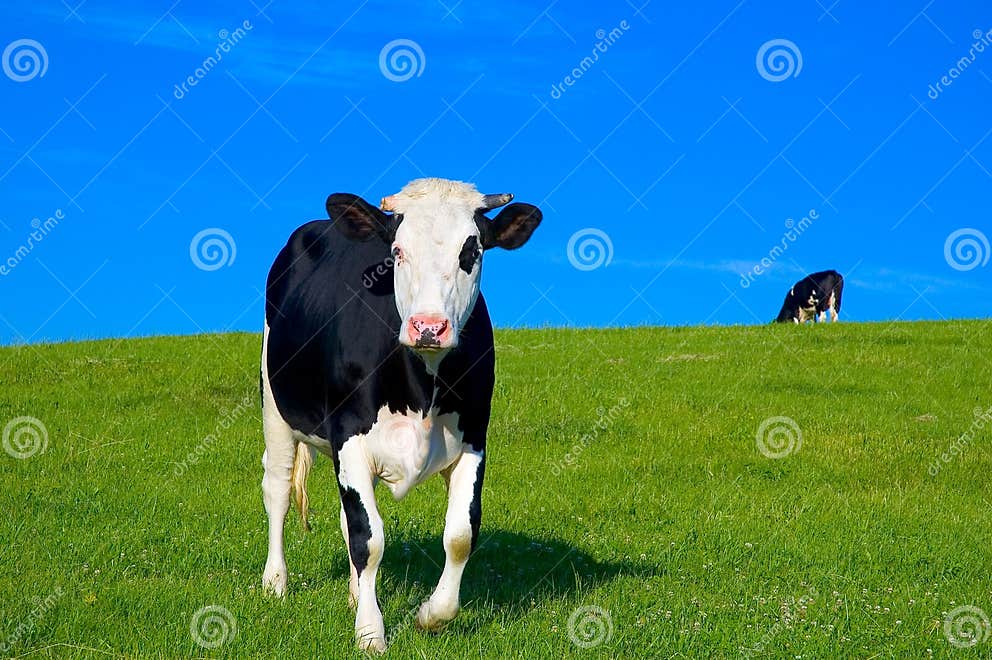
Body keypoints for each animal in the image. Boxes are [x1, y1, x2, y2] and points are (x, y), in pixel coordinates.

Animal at [259, 178, 542, 652]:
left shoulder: (474, 439)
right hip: (275, 408)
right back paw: (274, 583)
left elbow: (460, 535)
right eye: (397, 251)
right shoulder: (348, 435)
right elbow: (368, 539)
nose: (428, 327)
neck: (420, 386)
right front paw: (371, 633)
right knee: (278, 490)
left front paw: (431, 615)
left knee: (344, 515)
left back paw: (354, 593)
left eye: (473, 251)